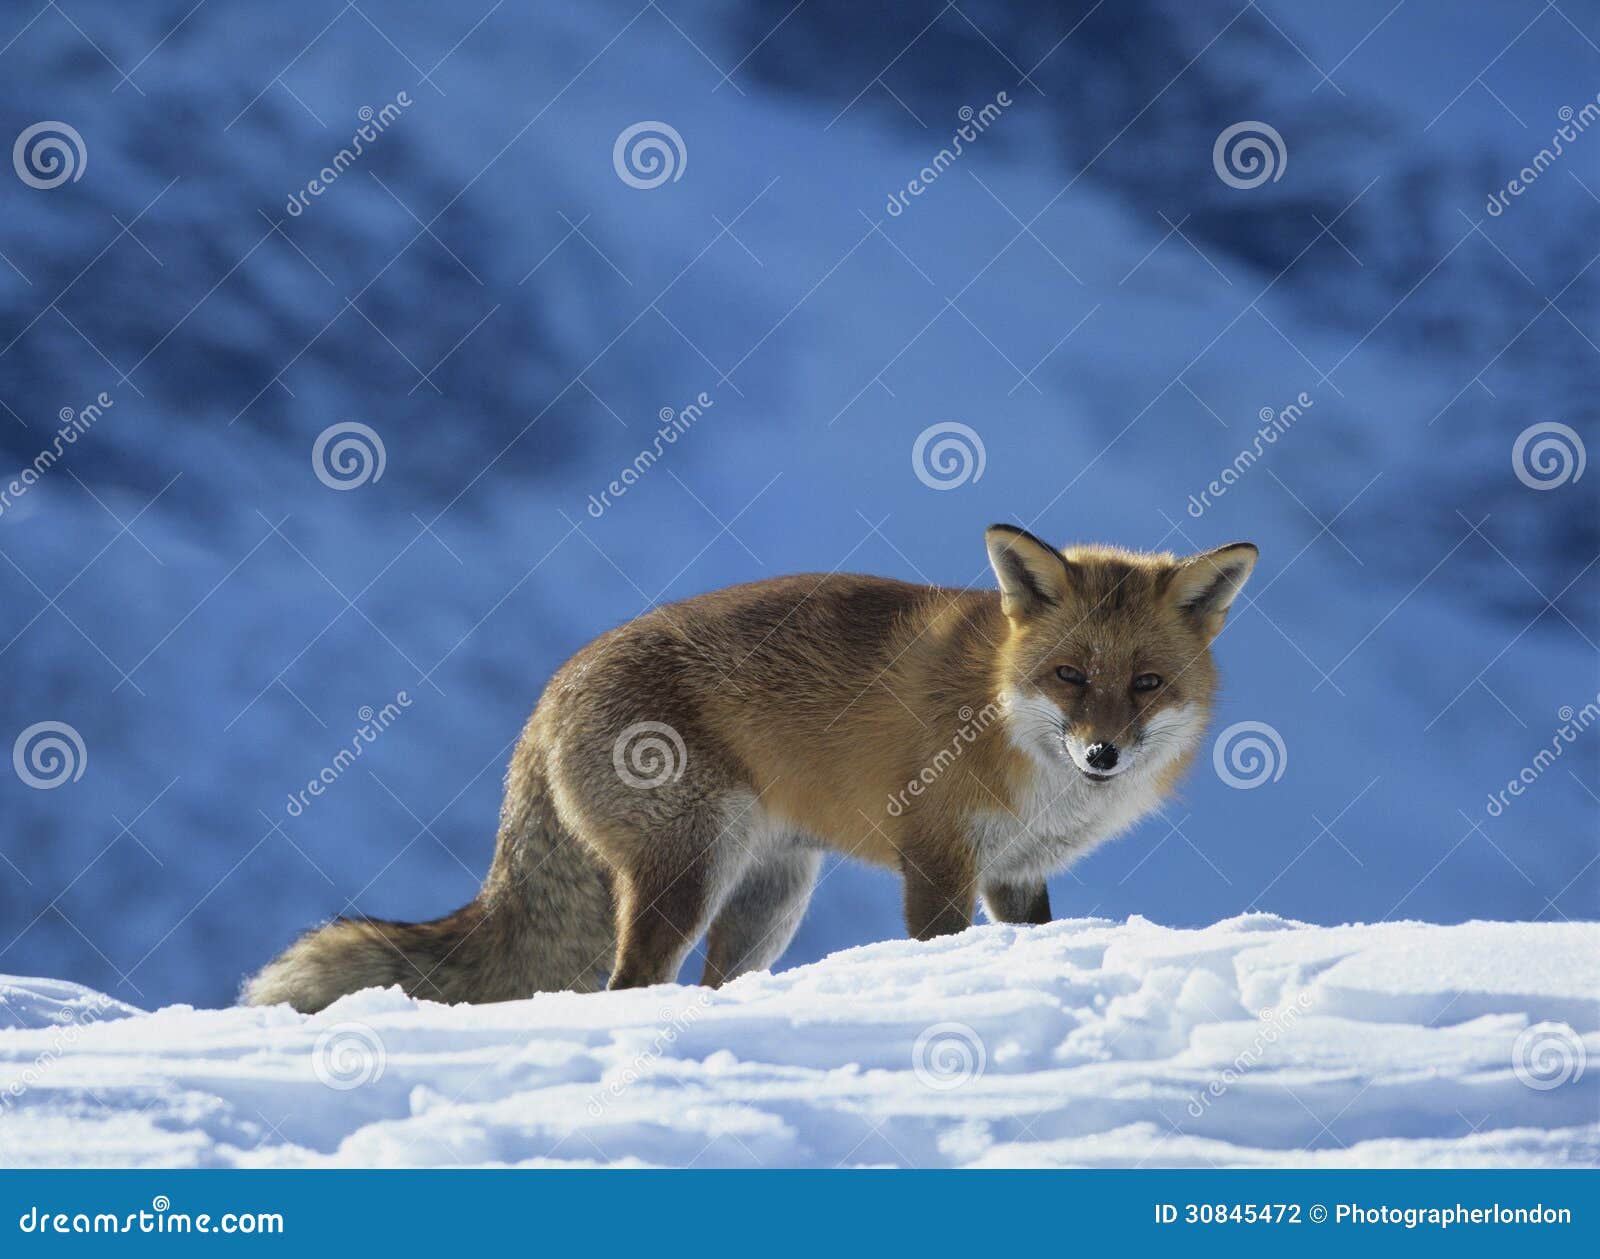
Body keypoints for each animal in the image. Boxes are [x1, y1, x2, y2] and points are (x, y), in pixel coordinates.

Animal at [244, 524, 1256, 1012]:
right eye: (1070, 676)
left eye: (1147, 684)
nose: (1101, 753)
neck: (1003, 717)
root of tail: (550, 691)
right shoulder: (938, 860)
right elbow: (936, 943)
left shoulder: (1015, 875)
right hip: (687, 873)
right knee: (626, 985)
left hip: (770, 899)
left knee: (708, 984)